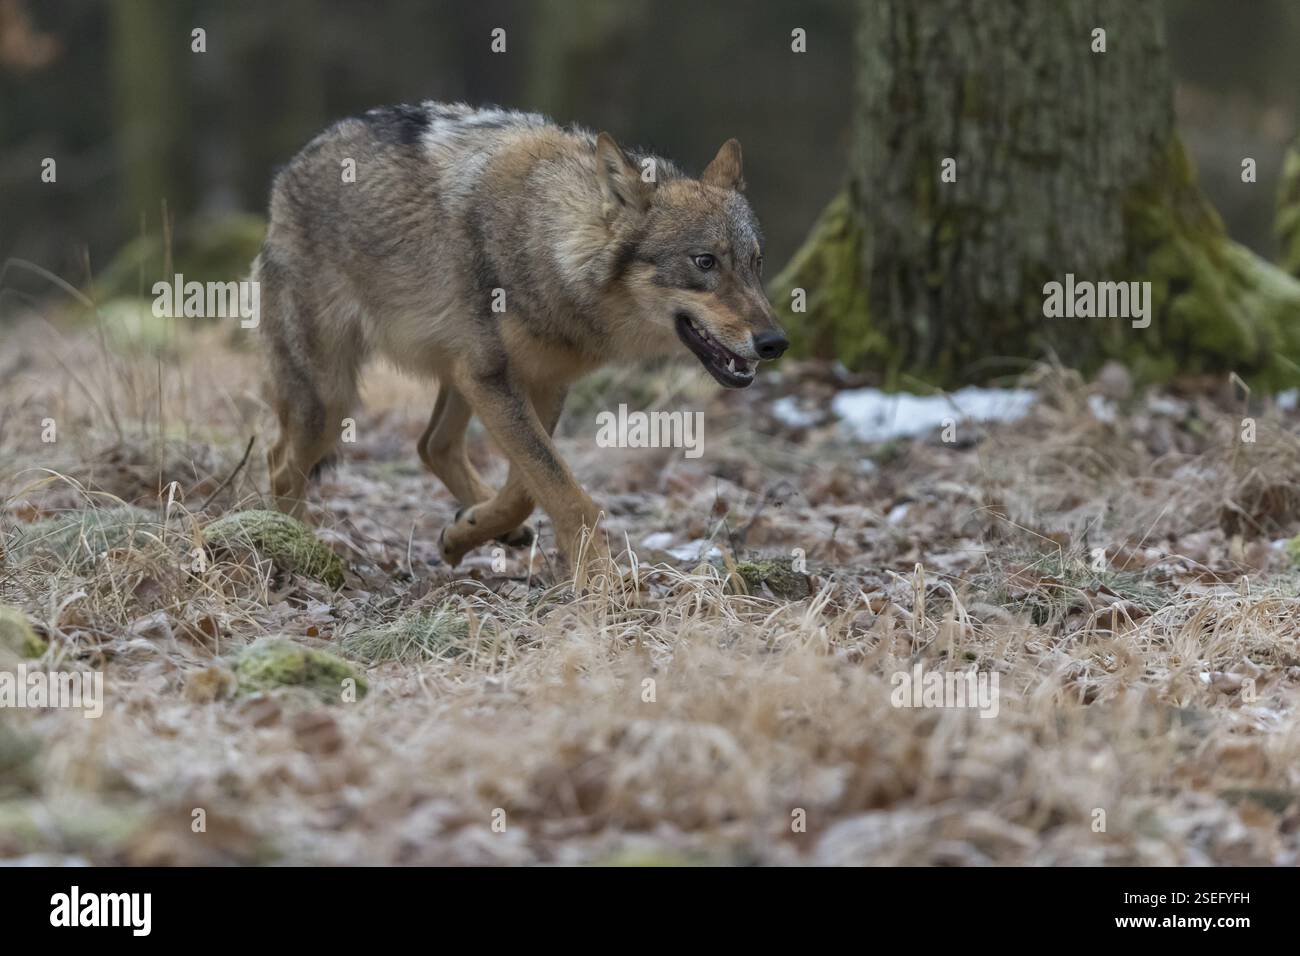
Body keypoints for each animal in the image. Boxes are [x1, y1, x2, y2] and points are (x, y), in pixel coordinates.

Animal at [256, 101, 788, 569]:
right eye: (705, 262)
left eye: (756, 263)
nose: (775, 342)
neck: (546, 243)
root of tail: (291, 168)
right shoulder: (492, 378)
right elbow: (565, 493)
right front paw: (602, 587)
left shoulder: (541, 382)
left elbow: (528, 488)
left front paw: (466, 533)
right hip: (331, 400)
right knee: (281, 464)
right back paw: (298, 546)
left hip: (450, 377)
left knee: (431, 445)